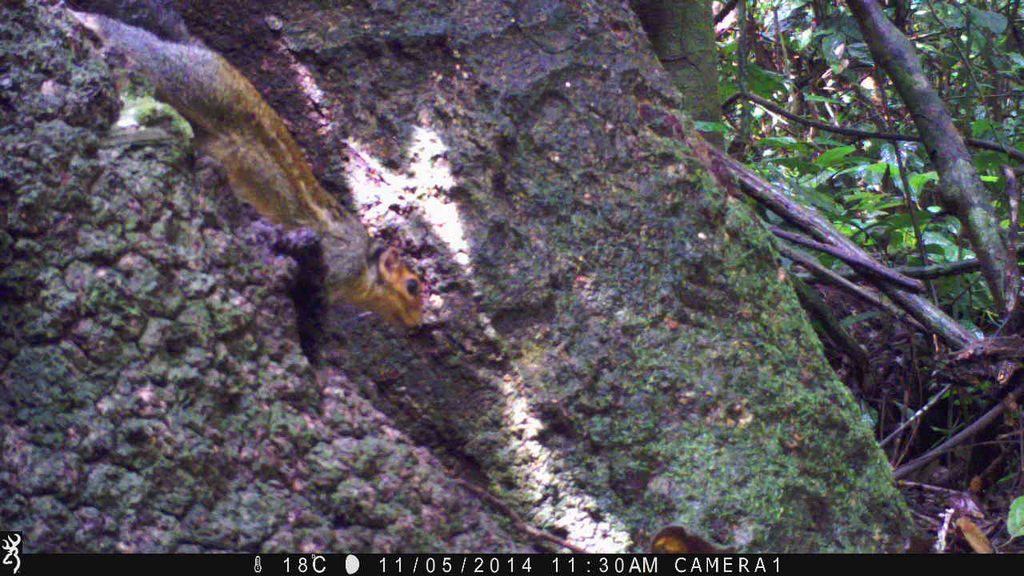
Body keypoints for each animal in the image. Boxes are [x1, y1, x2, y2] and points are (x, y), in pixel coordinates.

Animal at [72, 10, 424, 328]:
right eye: (413, 286)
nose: (418, 323)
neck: (365, 263)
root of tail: (209, 55)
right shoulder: (341, 261)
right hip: (189, 80)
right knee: (139, 45)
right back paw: (86, 19)